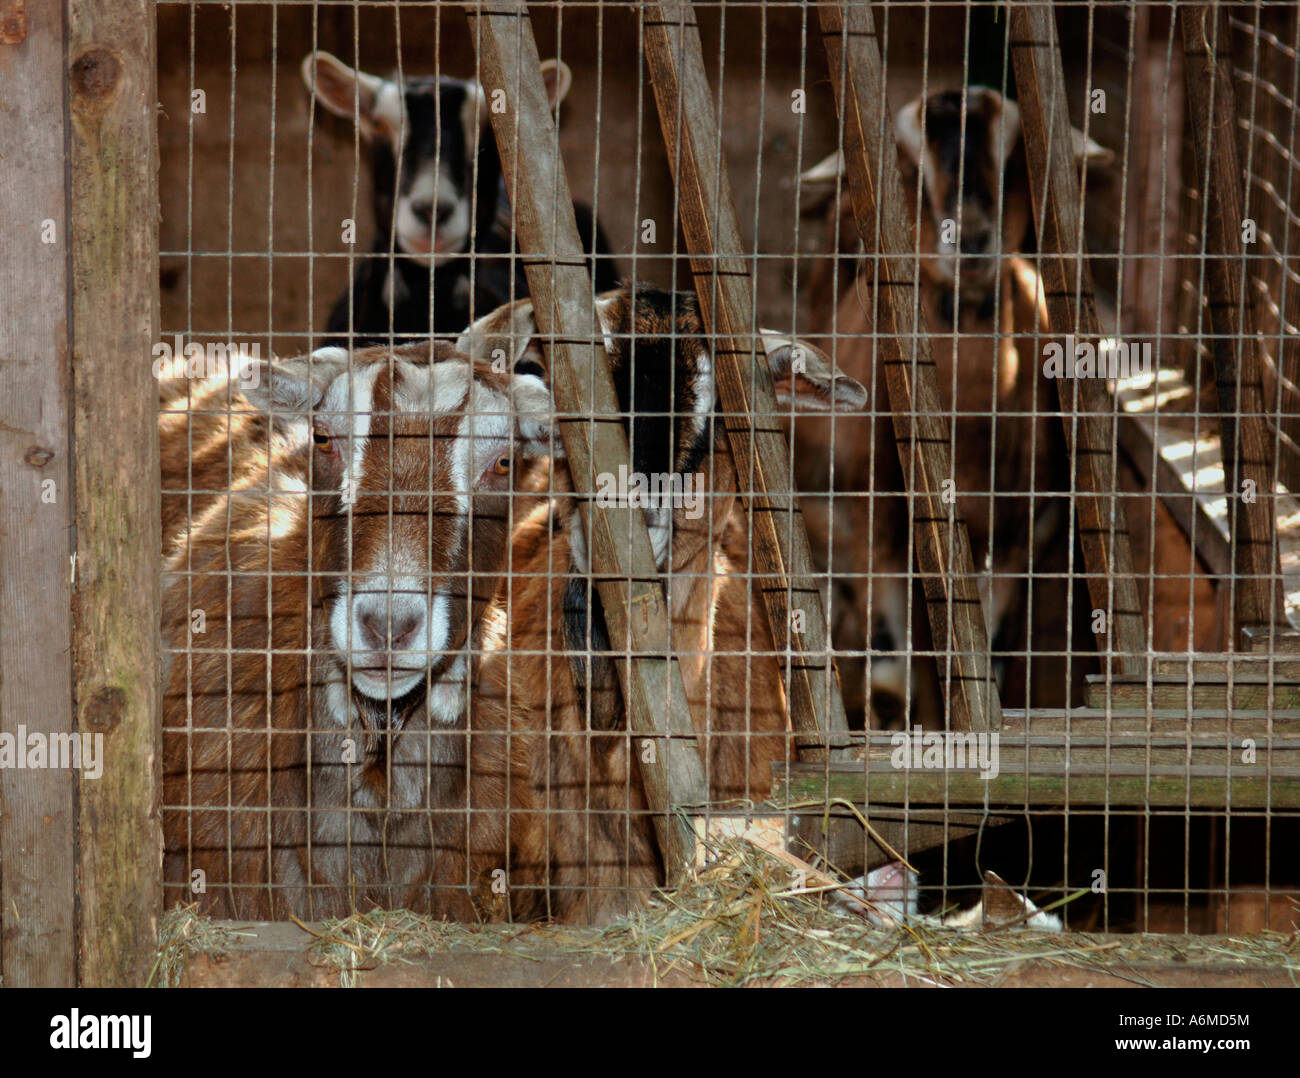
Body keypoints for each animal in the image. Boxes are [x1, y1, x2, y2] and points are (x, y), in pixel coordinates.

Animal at [792, 87, 1111, 724]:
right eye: (906, 167)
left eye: (1014, 160)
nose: (971, 238)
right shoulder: (872, 538)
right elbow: (893, 672)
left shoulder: (1012, 544)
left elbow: (982, 664)